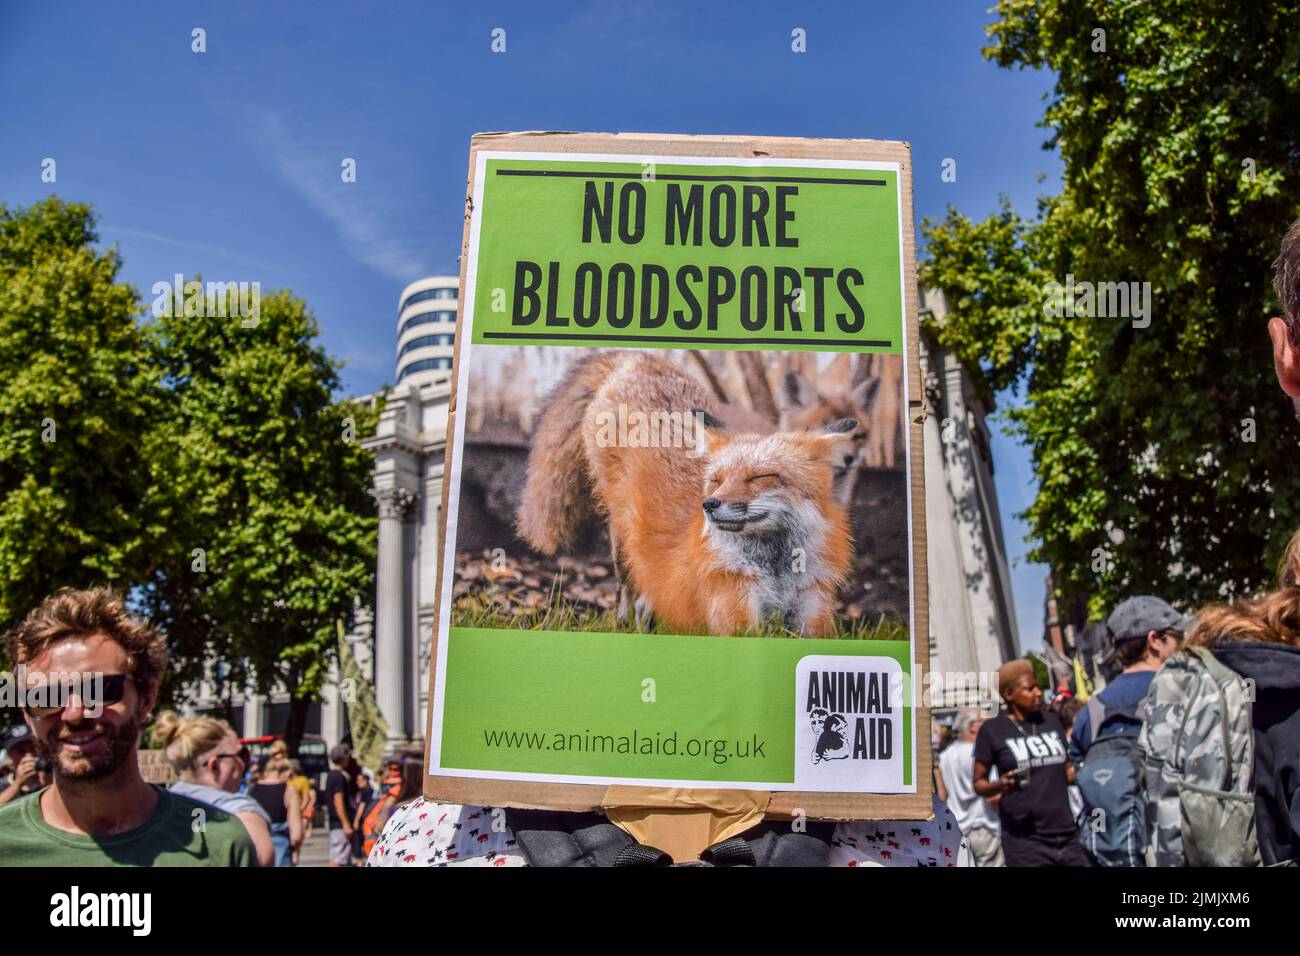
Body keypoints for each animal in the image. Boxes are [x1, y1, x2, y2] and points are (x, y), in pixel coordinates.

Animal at [516, 351, 857, 637]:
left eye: (761, 476)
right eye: (716, 480)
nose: (709, 504)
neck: (777, 572)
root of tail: (641, 358)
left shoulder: (812, 617)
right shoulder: (736, 617)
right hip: (623, 543)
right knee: (628, 593)